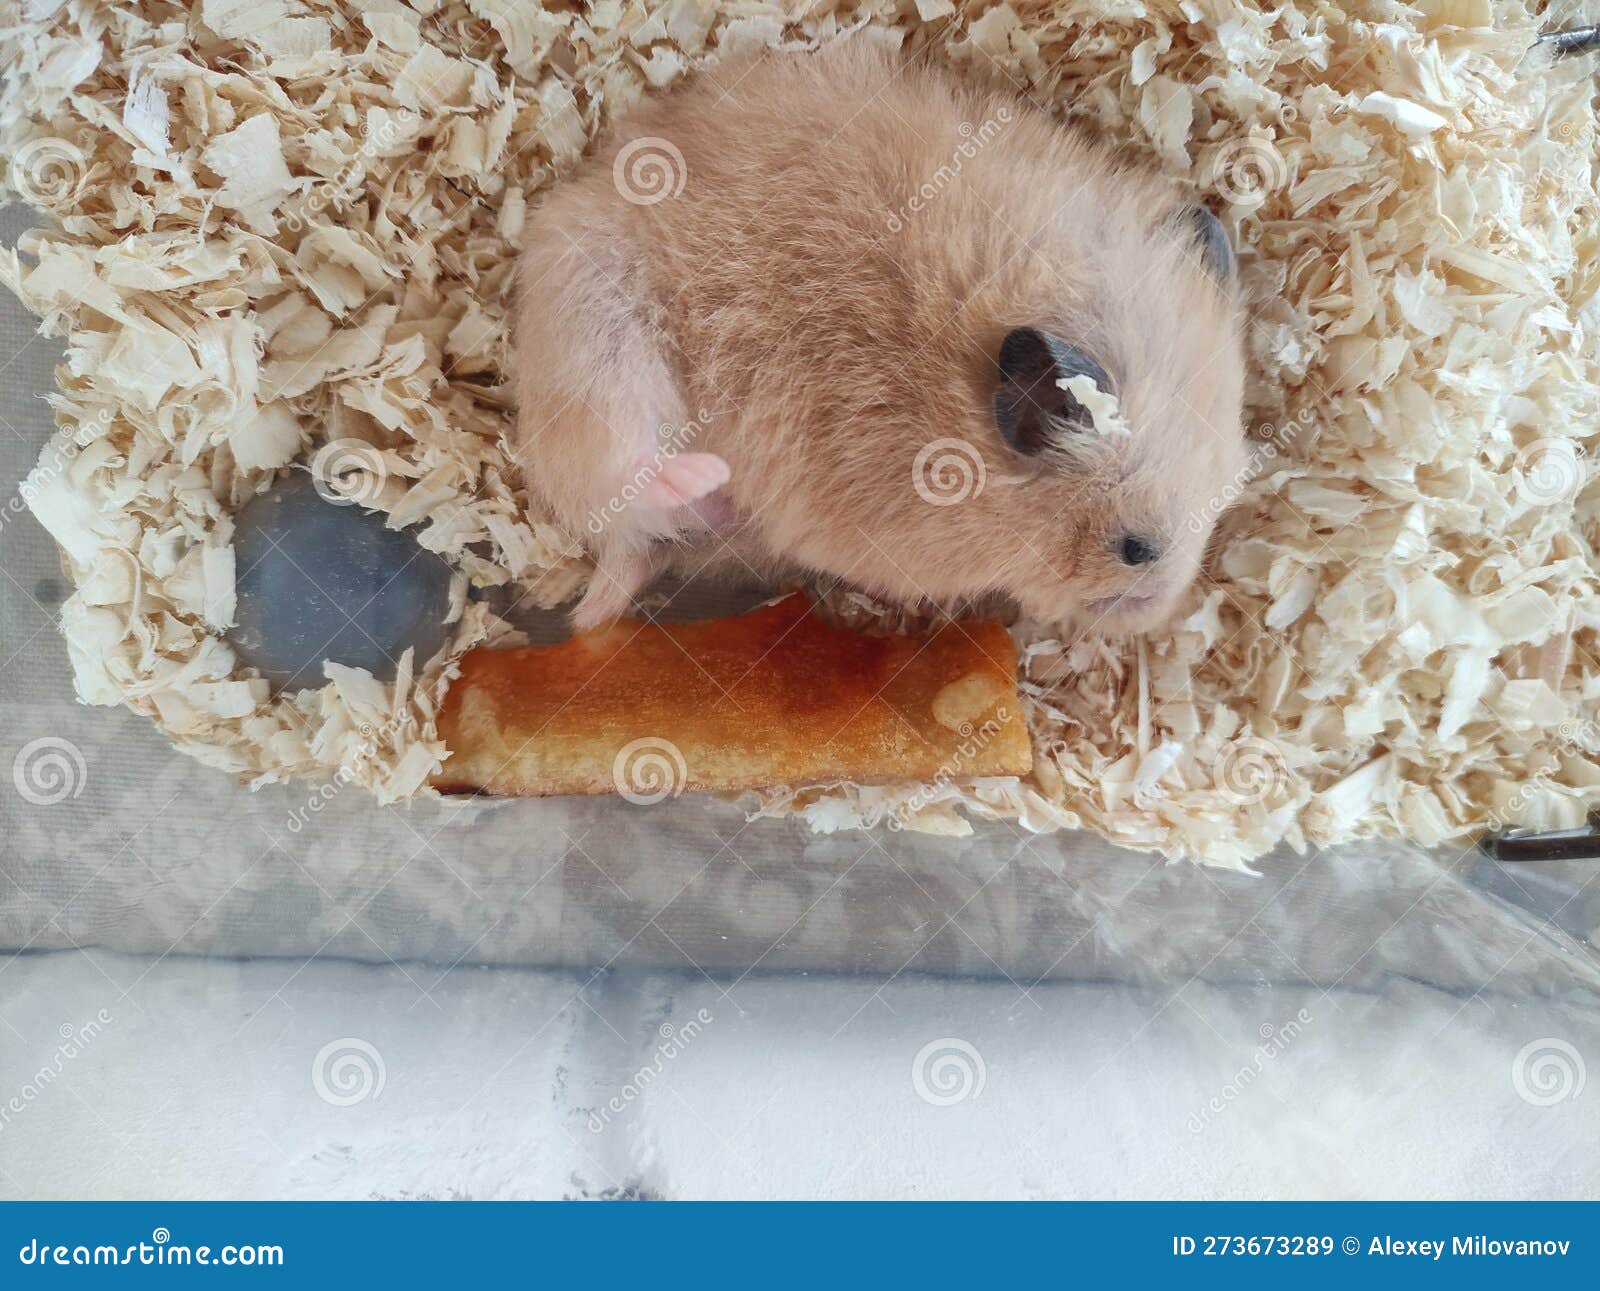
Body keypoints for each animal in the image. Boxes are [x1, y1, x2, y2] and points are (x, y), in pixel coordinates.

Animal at [512, 39, 1248, 634]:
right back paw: (702, 478)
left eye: (1226, 500)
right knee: (625, 469)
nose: (1156, 619)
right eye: (1134, 549)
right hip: (596, 319)